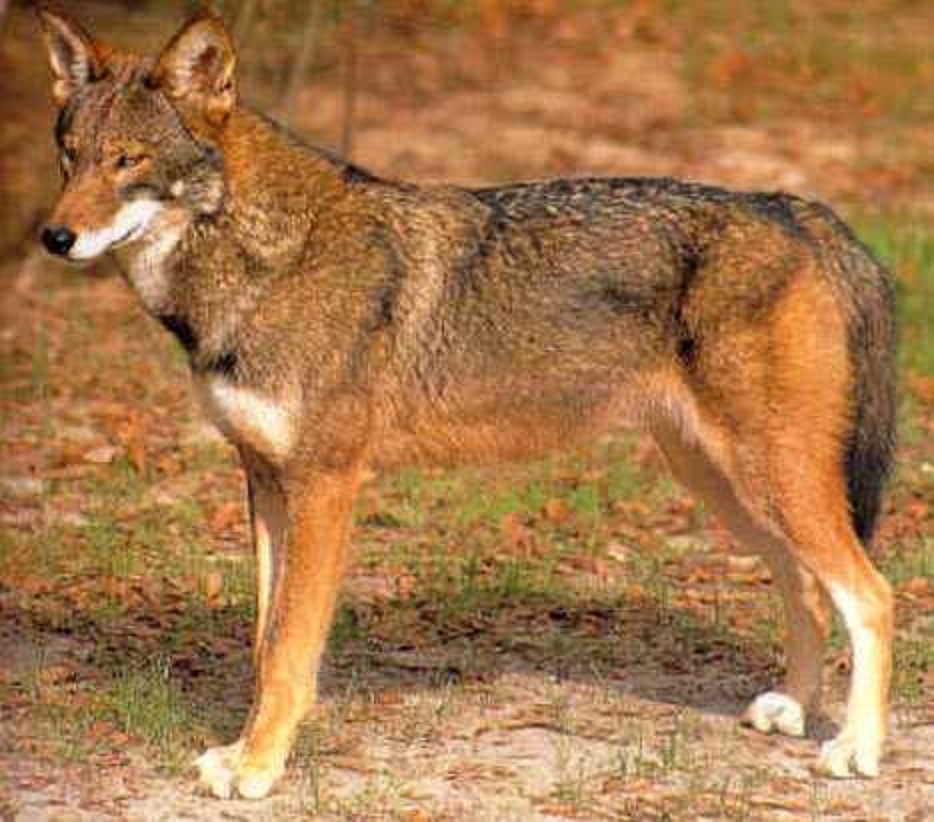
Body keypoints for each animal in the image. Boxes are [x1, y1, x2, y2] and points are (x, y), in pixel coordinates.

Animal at [37, 5, 897, 799]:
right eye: (69, 157)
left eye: (127, 161)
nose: (52, 238)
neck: (267, 260)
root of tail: (794, 207)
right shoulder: (264, 483)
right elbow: (263, 640)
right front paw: (246, 751)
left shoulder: (325, 487)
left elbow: (286, 649)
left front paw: (257, 769)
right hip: (726, 486)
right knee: (809, 588)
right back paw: (794, 709)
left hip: (769, 481)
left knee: (872, 594)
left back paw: (854, 751)